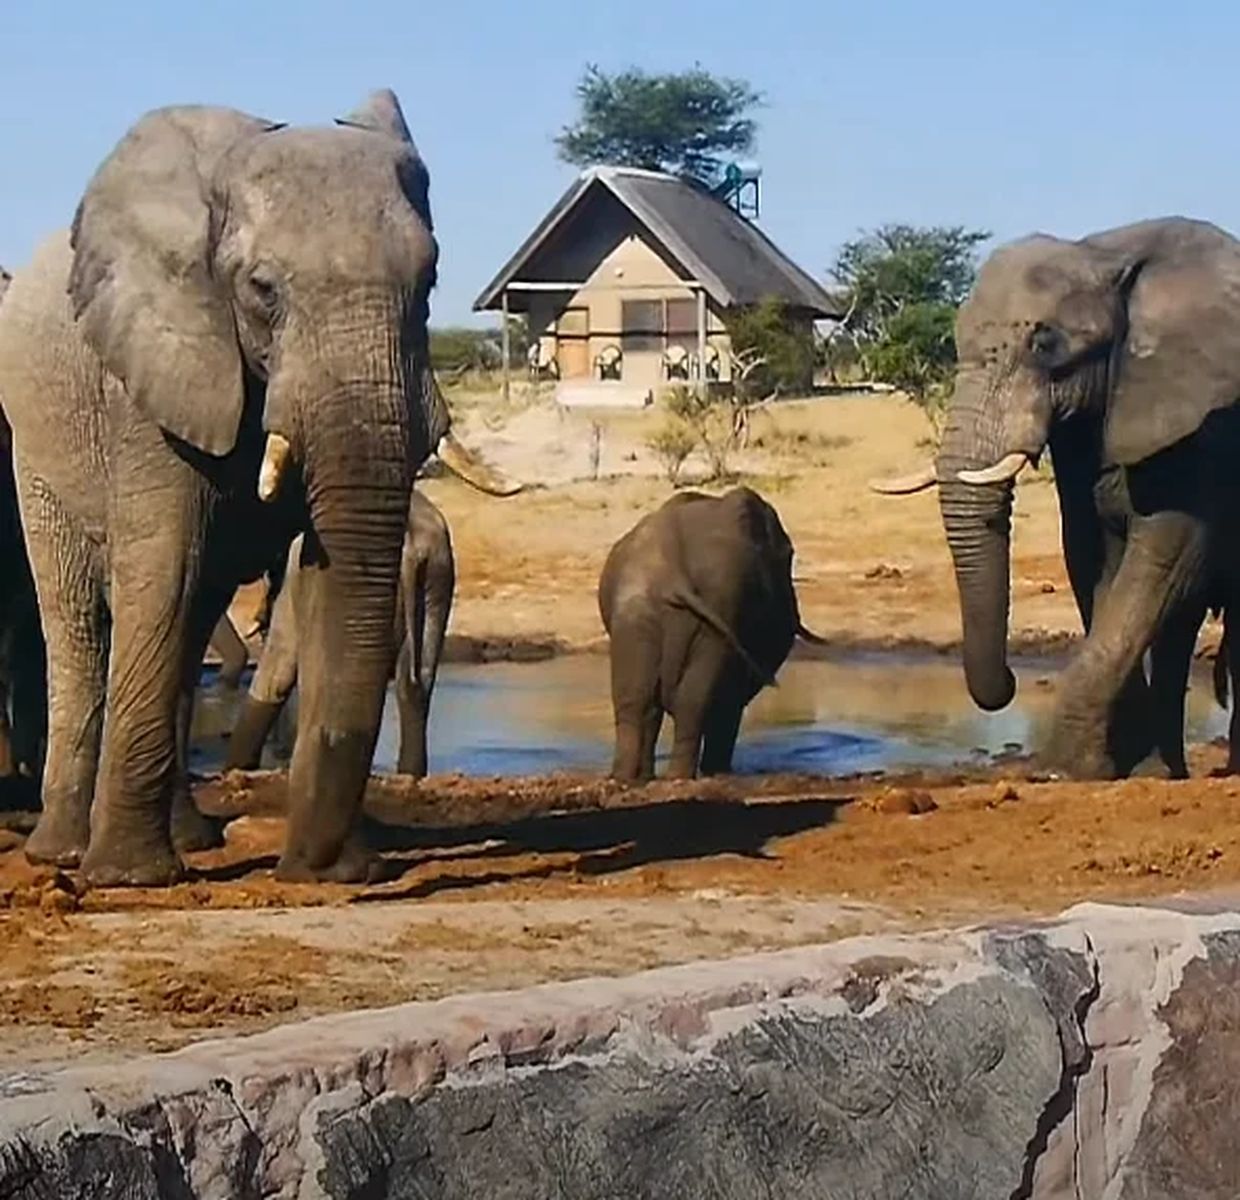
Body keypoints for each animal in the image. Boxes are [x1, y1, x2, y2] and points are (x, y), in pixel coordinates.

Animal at [598, 486, 824, 781]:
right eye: (789, 555)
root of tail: (671, 569)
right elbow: (729, 703)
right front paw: (718, 772)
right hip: (718, 606)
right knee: (692, 703)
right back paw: (680, 777)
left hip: (635, 615)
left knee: (636, 702)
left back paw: (629, 779)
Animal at [873, 217, 1240, 779]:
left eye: (1045, 343)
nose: (1009, 683)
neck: (1104, 255)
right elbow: (1091, 555)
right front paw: (1122, 765)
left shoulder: (1201, 416)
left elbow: (1166, 557)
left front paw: (1069, 768)